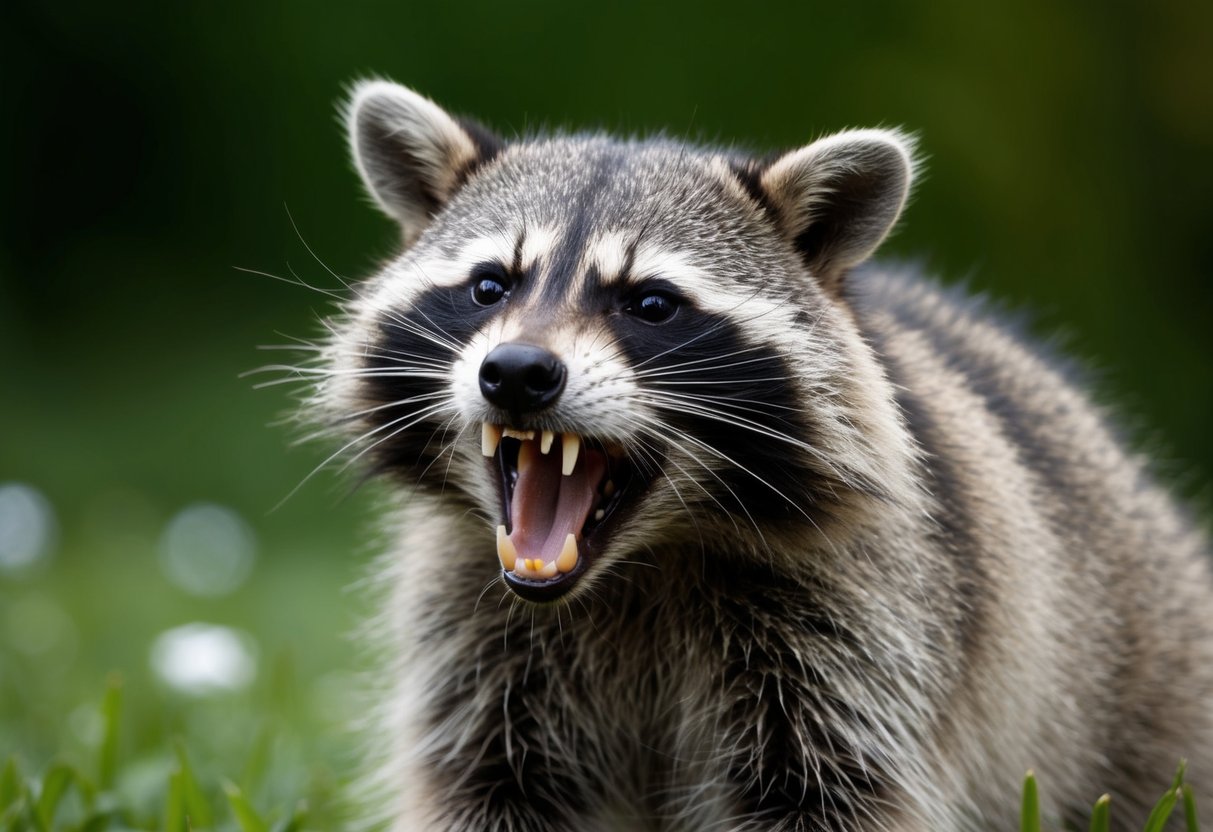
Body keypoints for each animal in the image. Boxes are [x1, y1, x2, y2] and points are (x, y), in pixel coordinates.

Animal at [309, 80, 1213, 831]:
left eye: (650, 304)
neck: (641, 564)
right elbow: (490, 783)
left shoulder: (861, 636)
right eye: (490, 286)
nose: (517, 374)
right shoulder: (476, 635)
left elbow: (825, 795)